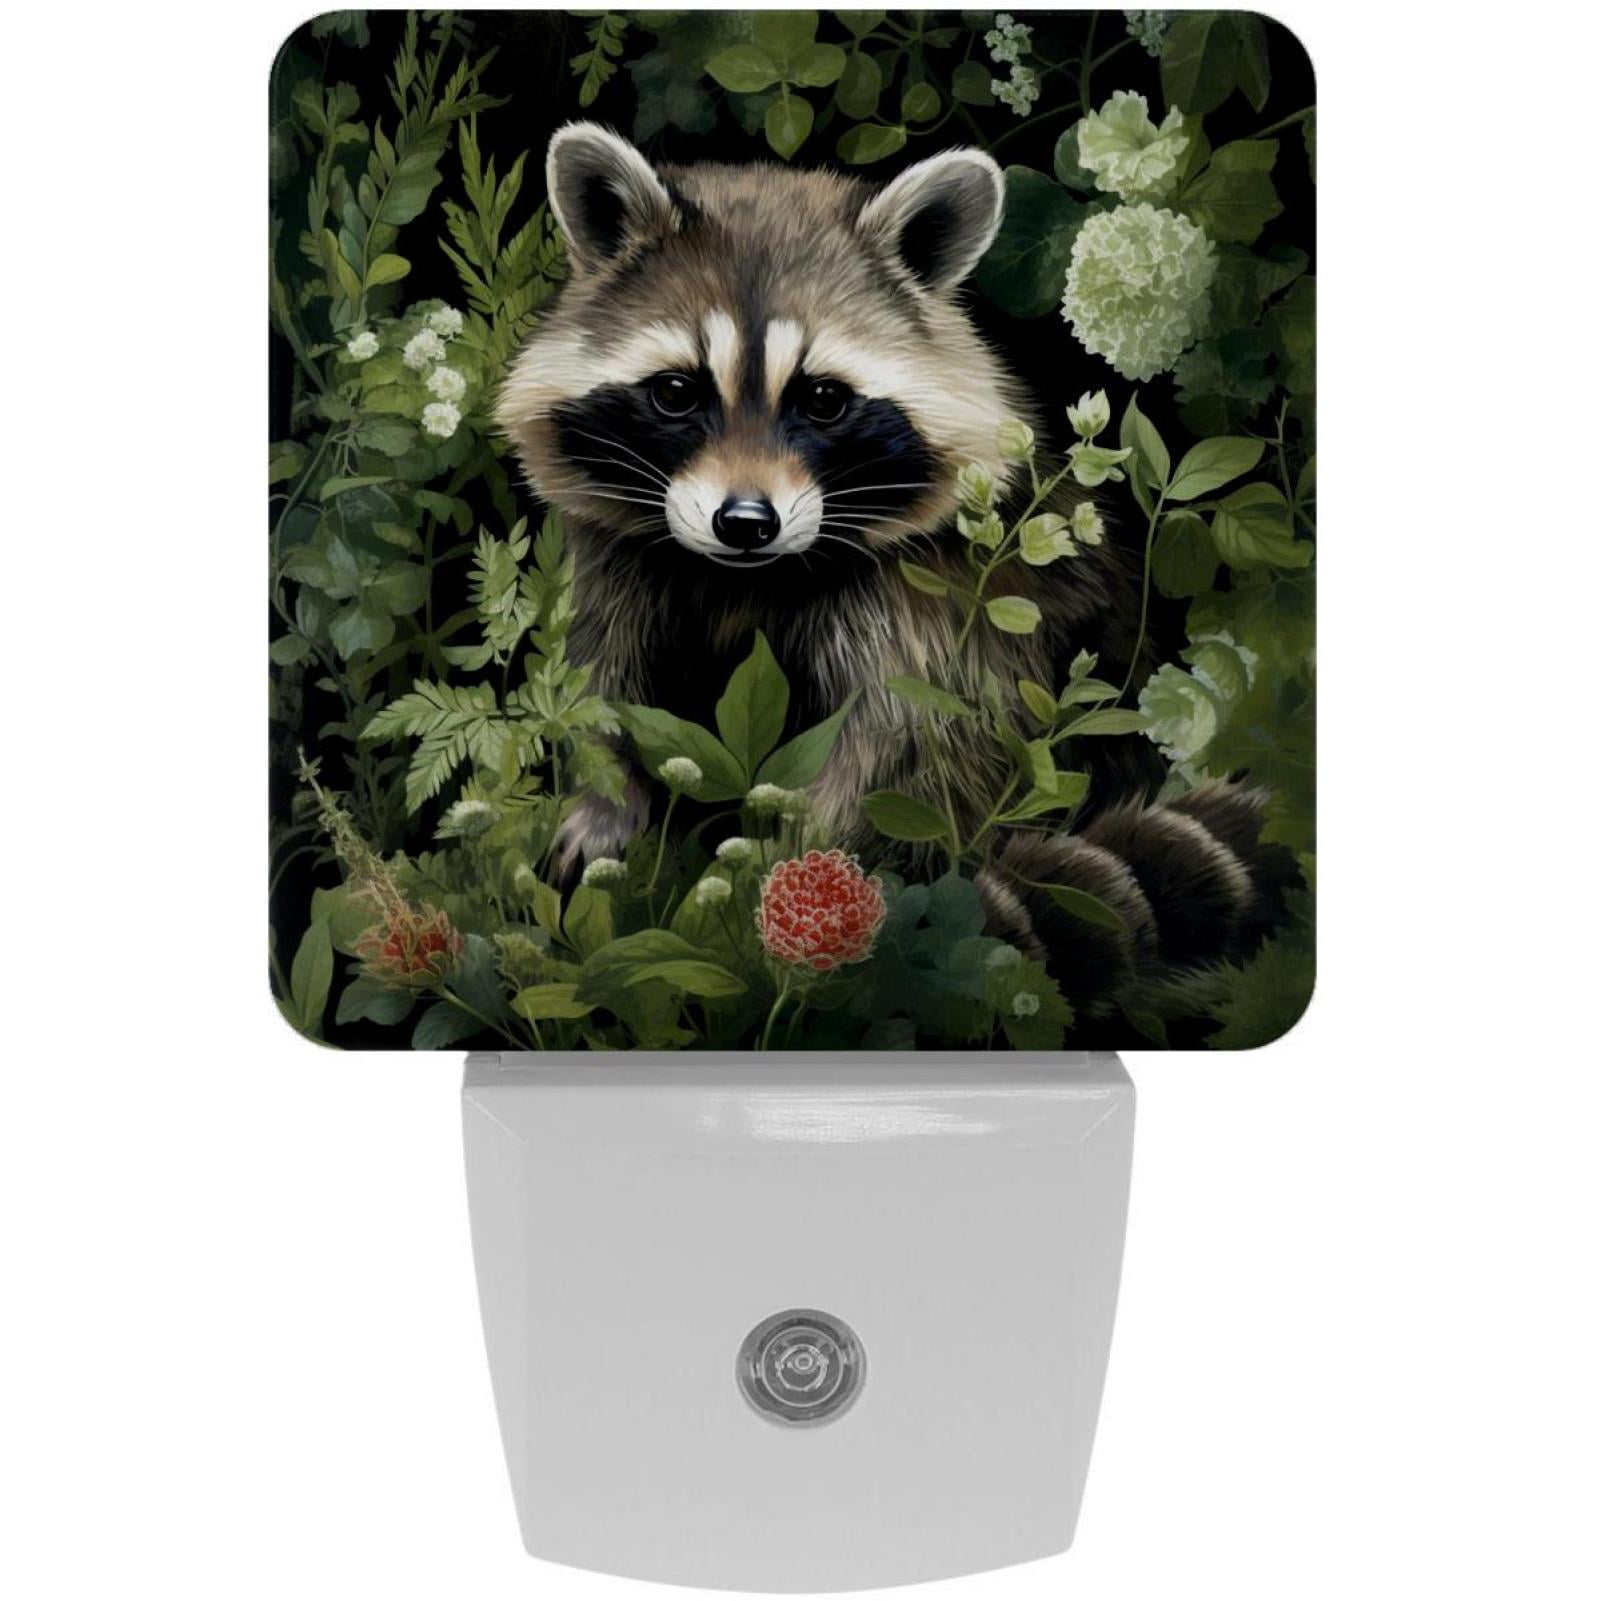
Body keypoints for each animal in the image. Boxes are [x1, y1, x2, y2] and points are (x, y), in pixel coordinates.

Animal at [498, 123, 1293, 1017]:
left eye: (821, 399)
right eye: (675, 392)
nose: (745, 524)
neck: (745, 578)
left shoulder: (929, 605)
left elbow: (904, 749)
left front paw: (791, 874)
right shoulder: (621, 560)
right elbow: (599, 679)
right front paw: (604, 802)